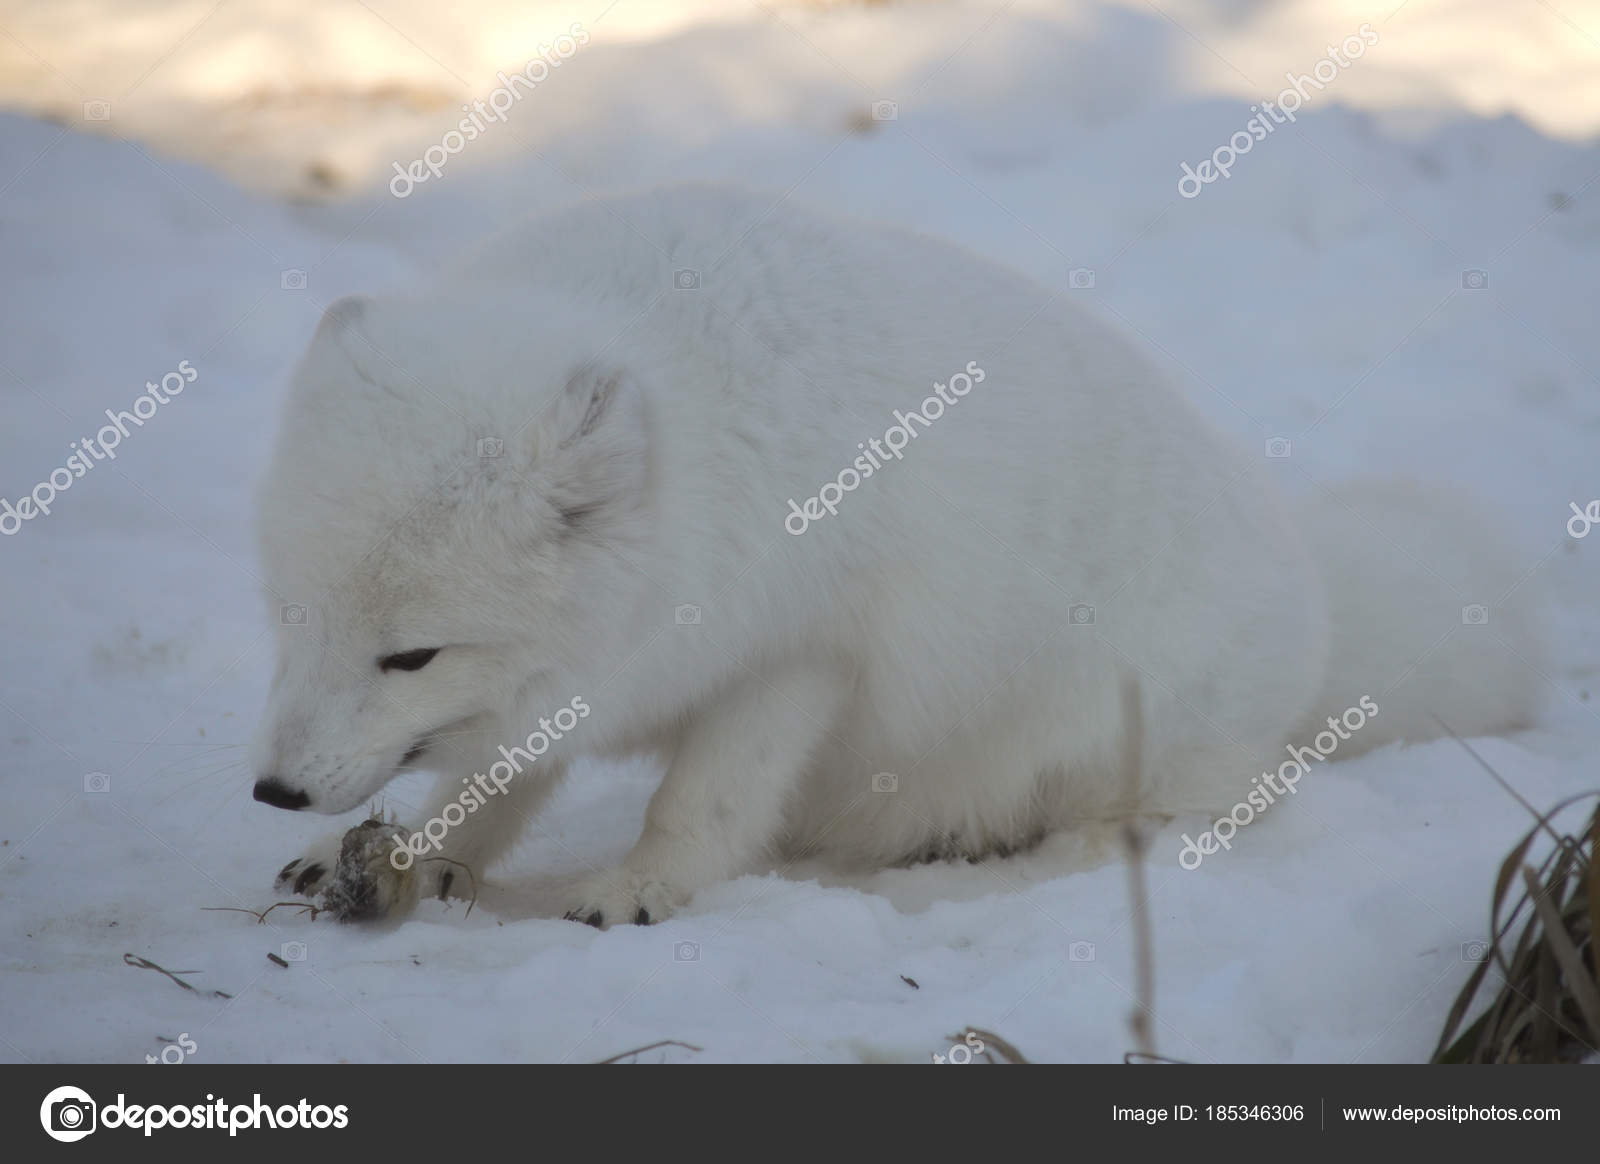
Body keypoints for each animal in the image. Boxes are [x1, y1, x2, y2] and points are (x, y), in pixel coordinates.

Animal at [251, 184, 1542, 927]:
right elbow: (486, 784)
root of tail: (1318, 609)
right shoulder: (576, 678)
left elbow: (701, 802)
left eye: (410, 656)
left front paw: (635, 891)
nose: (276, 791)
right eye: (291, 617)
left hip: (1113, 747)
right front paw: (406, 857)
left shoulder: (799, 656)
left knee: (1129, 843)